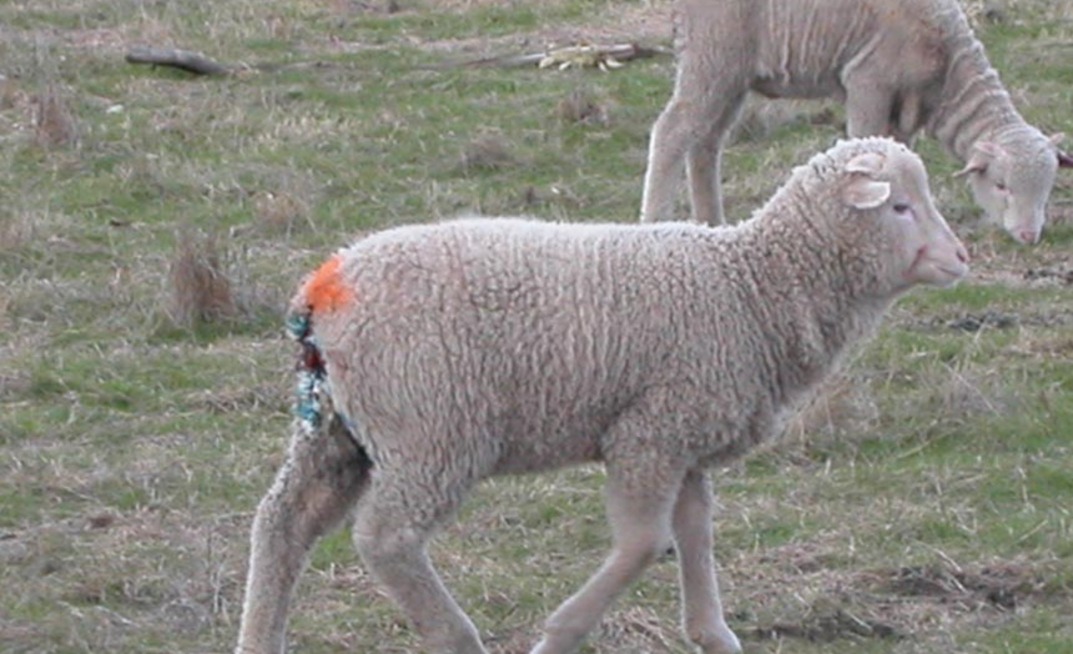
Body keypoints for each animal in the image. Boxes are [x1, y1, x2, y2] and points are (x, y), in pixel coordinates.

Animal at [235, 137, 969, 654]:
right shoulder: (648, 433)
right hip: (429, 429)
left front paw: (711, 633)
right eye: (900, 206)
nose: (961, 258)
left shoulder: (684, 438)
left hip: (336, 430)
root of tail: (324, 286)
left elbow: (694, 531)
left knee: (282, 524)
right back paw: (456, 637)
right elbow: (643, 543)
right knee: (386, 538)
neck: (754, 283)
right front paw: (558, 635)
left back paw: (260, 638)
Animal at [640, 0, 1073, 245]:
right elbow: (866, 143)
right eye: (1000, 185)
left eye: (1049, 188)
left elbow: (898, 156)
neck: (947, 73)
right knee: (673, 130)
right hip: (714, 53)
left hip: (732, 73)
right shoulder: (869, 81)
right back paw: (653, 220)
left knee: (706, 141)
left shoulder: (905, 108)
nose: (1029, 237)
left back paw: (711, 224)